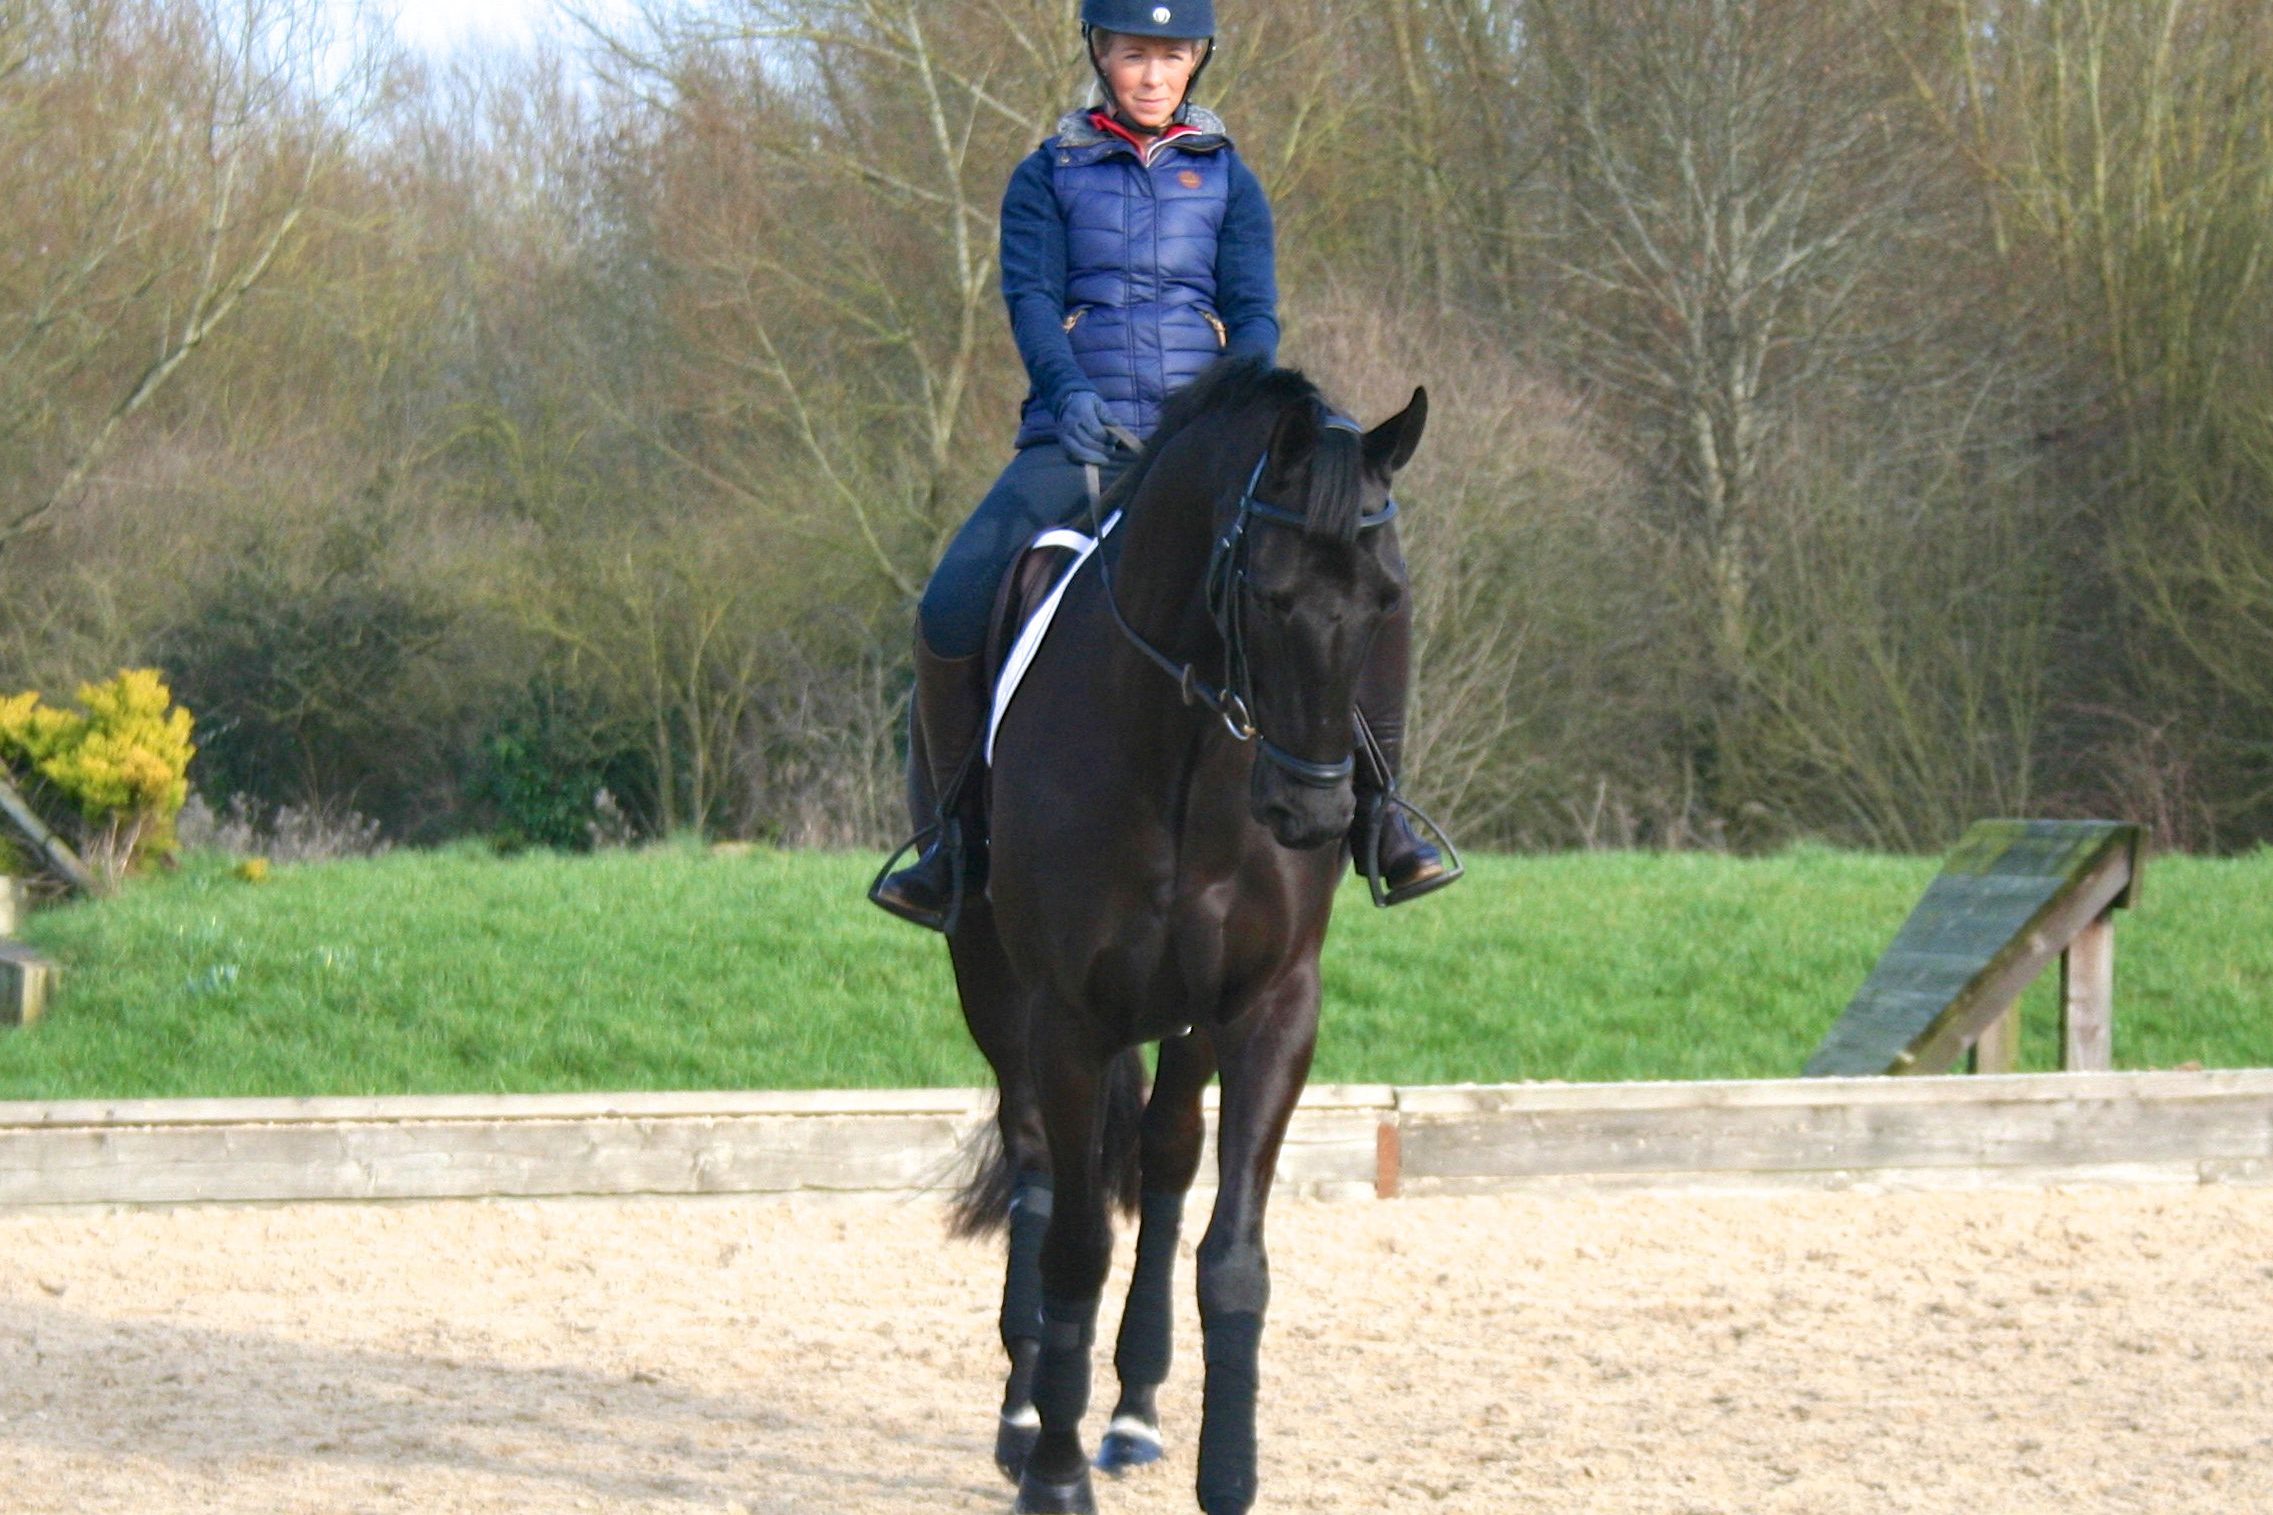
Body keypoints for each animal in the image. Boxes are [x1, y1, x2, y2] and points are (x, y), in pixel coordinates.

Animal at [935, 355, 1425, 1515]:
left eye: (1385, 601)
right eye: (1267, 592)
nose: (1313, 814)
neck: (1188, 755)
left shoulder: (1271, 1008)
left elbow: (1231, 1254)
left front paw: (1226, 1473)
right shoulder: (1067, 1019)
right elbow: (1072, 1246)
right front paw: (1054, 1476)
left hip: (1185, 1022)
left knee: (1162, 1160)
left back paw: (1132, 1408)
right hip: (995, 989)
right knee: (1034, 1164)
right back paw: (1026, 1412)